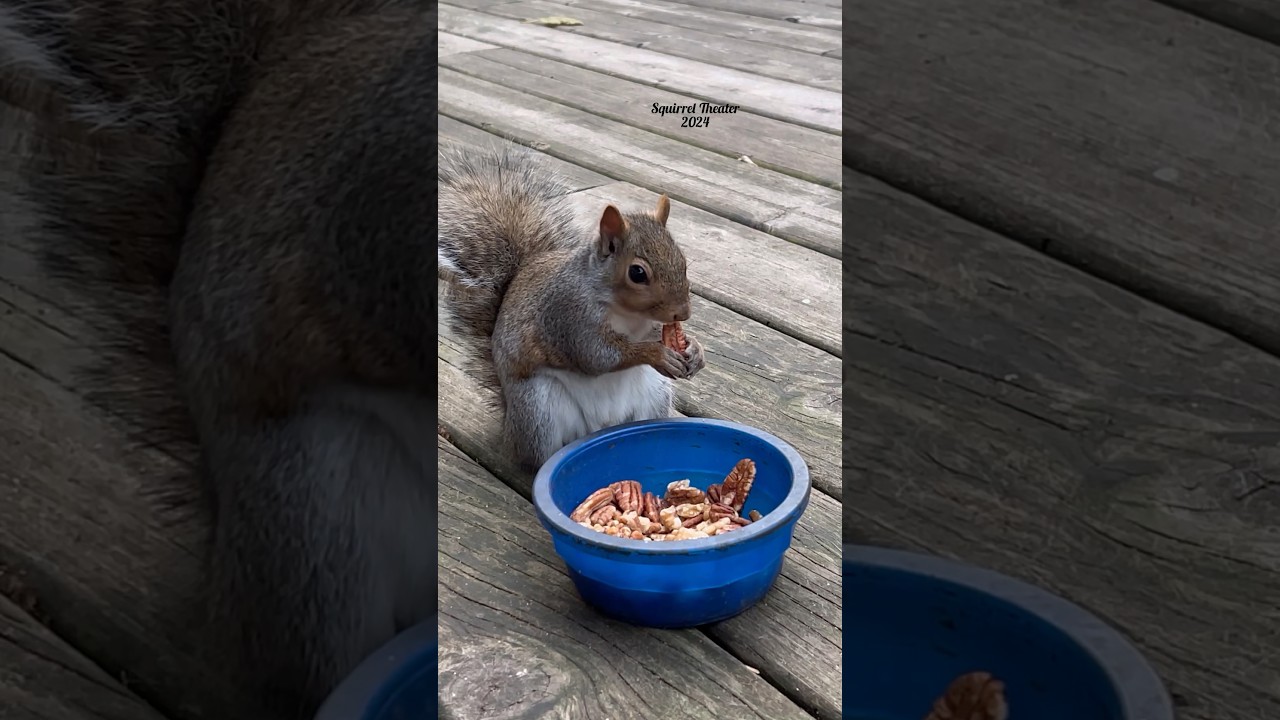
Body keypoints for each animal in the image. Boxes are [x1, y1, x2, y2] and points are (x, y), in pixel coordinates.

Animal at [438, 149, 707, 469]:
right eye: (637, 273)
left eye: (683, 260)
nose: (683, 313)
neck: (627, 314)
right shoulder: (567, 316)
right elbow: (597, 356)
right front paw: (656, 354)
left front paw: (695, 350)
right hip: (538, 409)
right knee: (540, 456)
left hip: (653, 394)